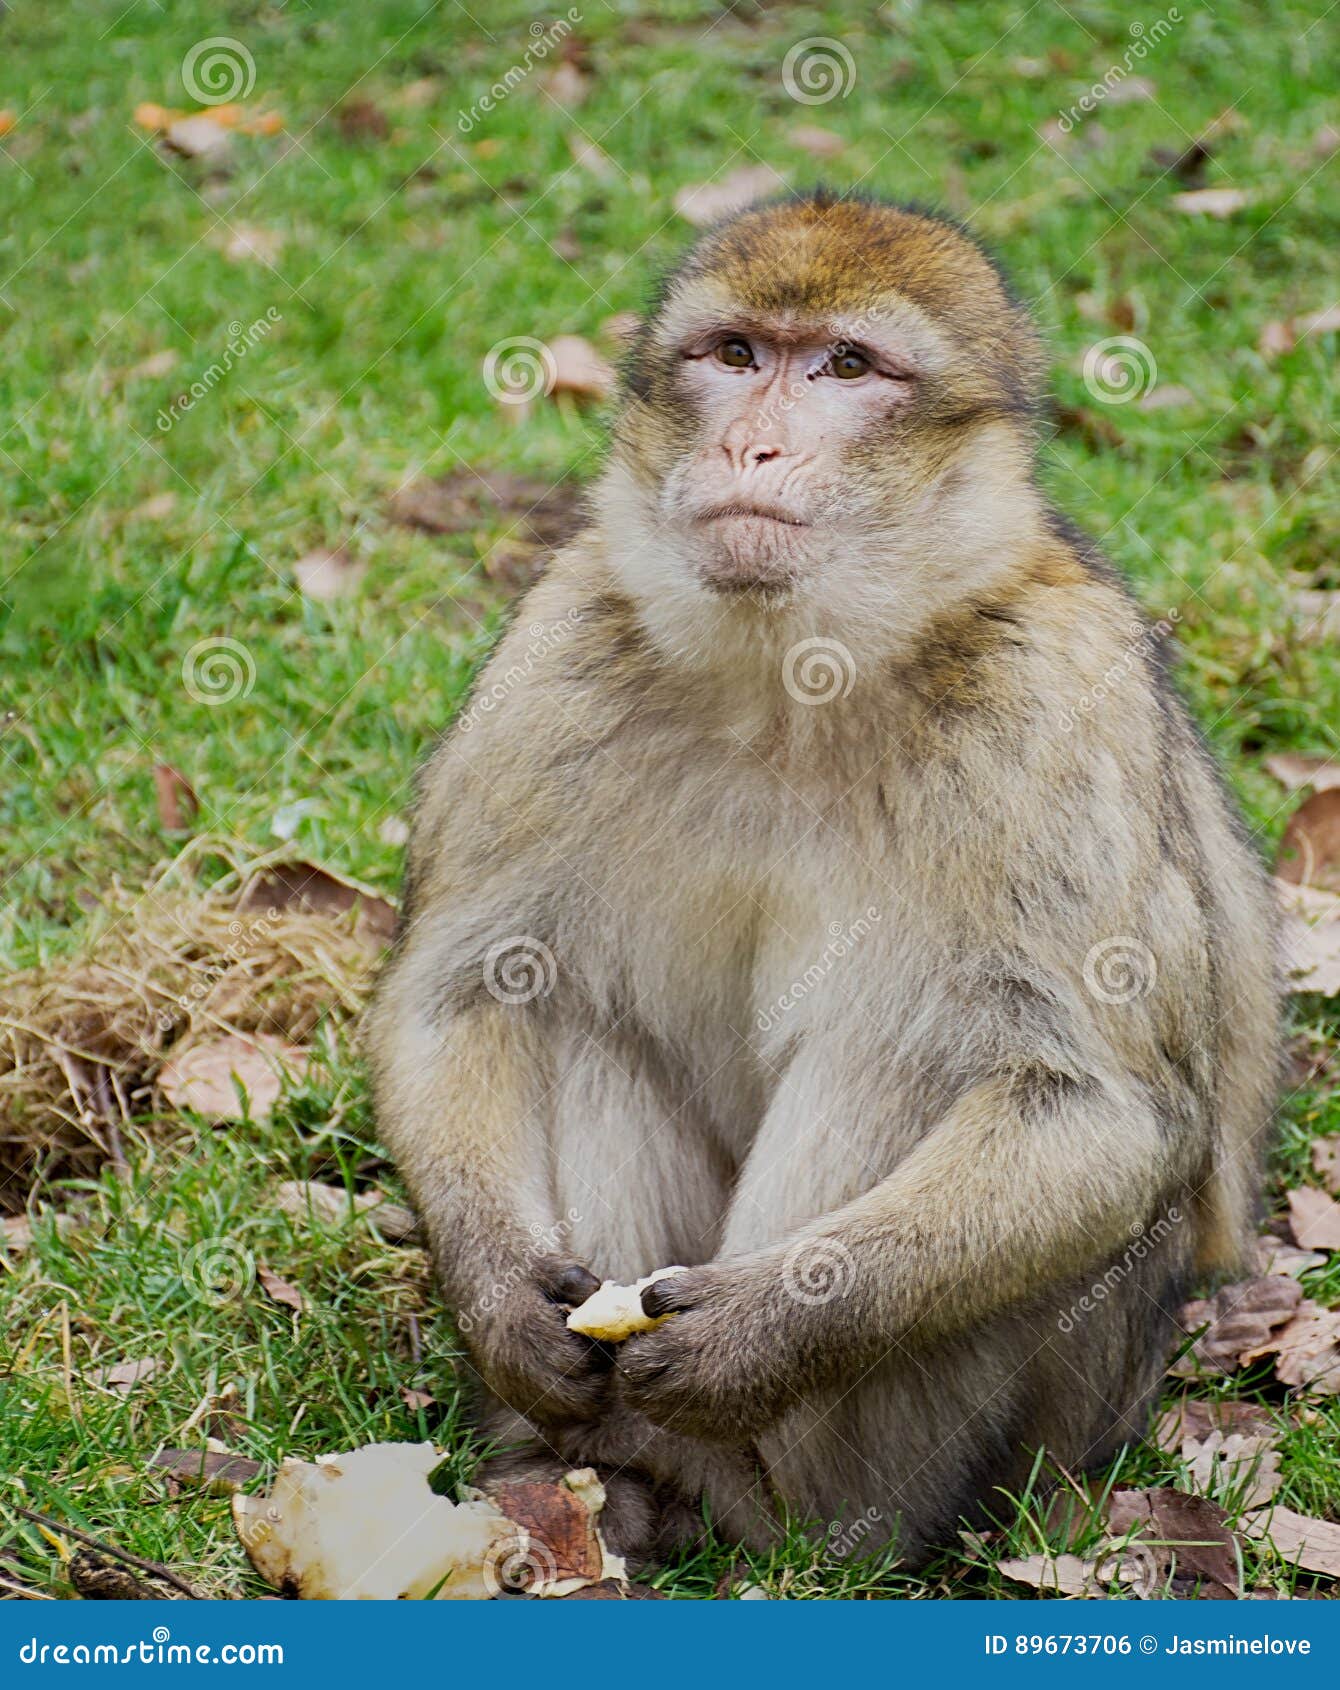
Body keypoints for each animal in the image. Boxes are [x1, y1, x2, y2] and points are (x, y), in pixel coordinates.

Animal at [366, 190, 1280, 1567]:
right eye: (737, 353)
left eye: (846, 367)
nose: (749, 445)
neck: (791, 679)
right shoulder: (554, 652)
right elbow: (467, 993)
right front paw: (501, 1301)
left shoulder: (1052, 703)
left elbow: (1097, 1107)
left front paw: (758, 1336)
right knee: (579, 1016)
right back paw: (603, 1472)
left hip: (949, 1454)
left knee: (913, 1043)